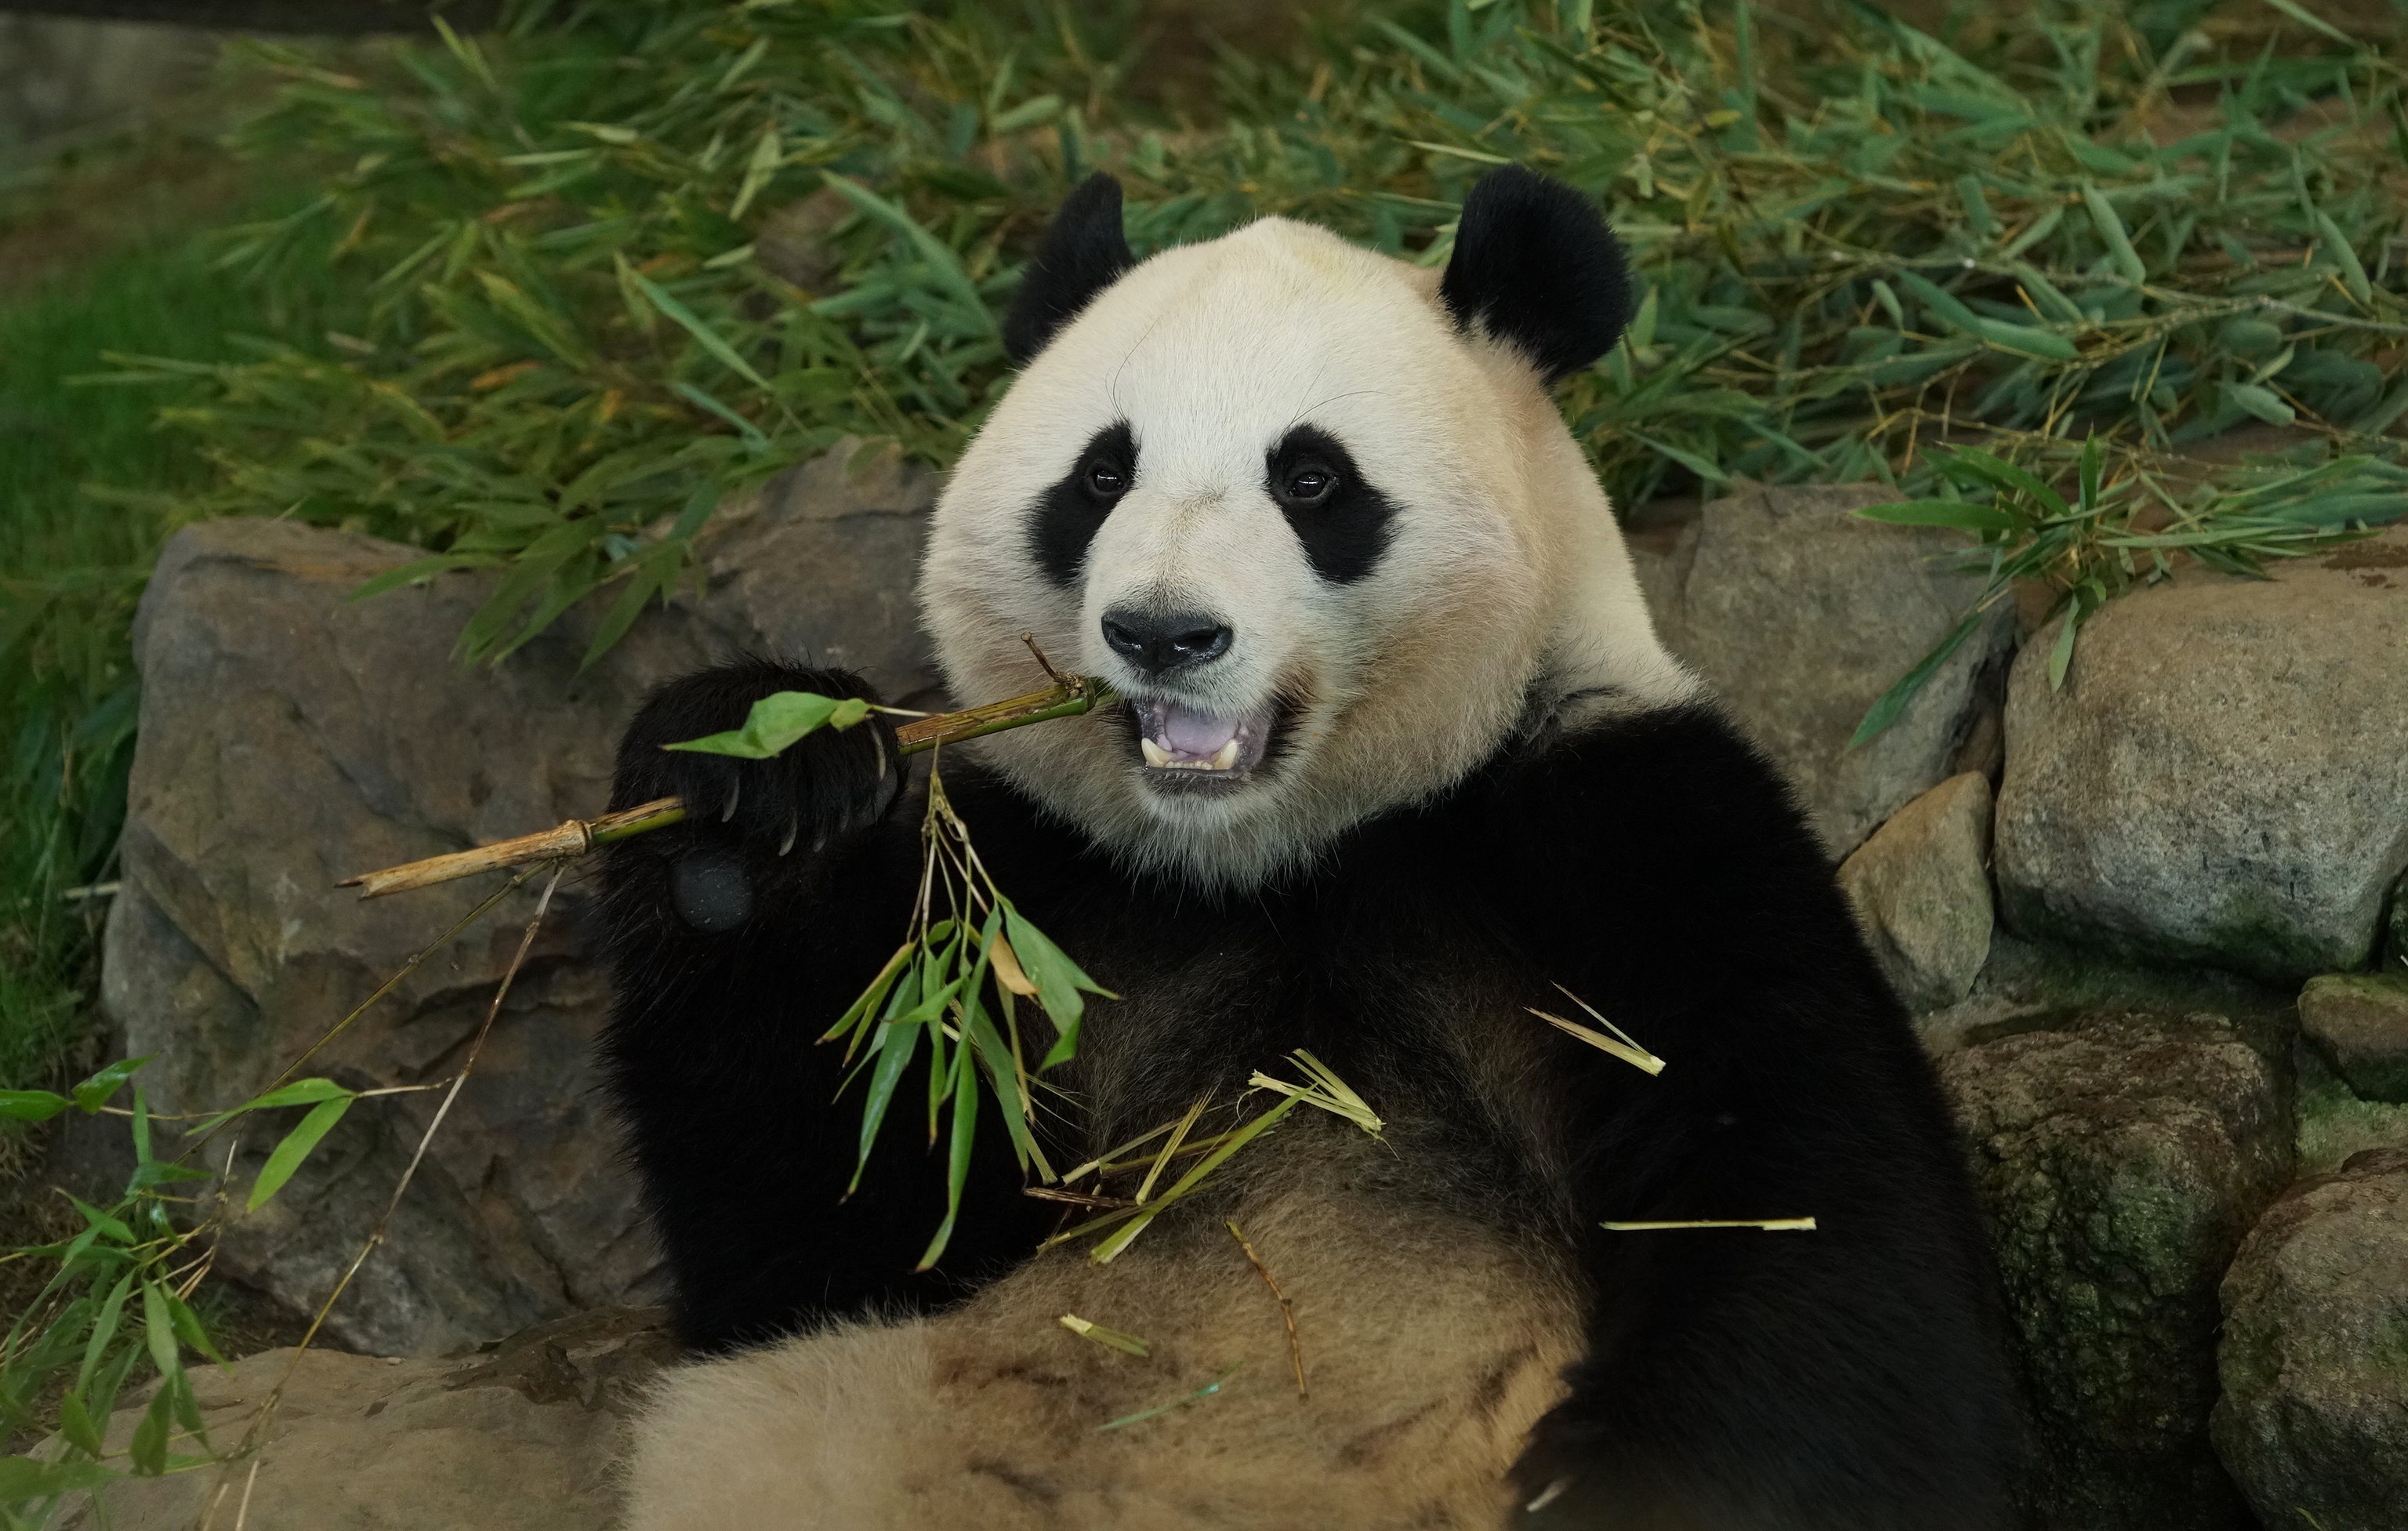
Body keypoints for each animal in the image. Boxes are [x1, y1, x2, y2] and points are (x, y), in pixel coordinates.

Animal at [596, 166, 2023, 1529]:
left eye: (1312, 480)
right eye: (1100, 477)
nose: (1163, 631)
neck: (1271, 853)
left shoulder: (1620, 820)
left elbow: (1812, 1209)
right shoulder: (1040, 898)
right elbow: (828, 1215)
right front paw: (757, 785)